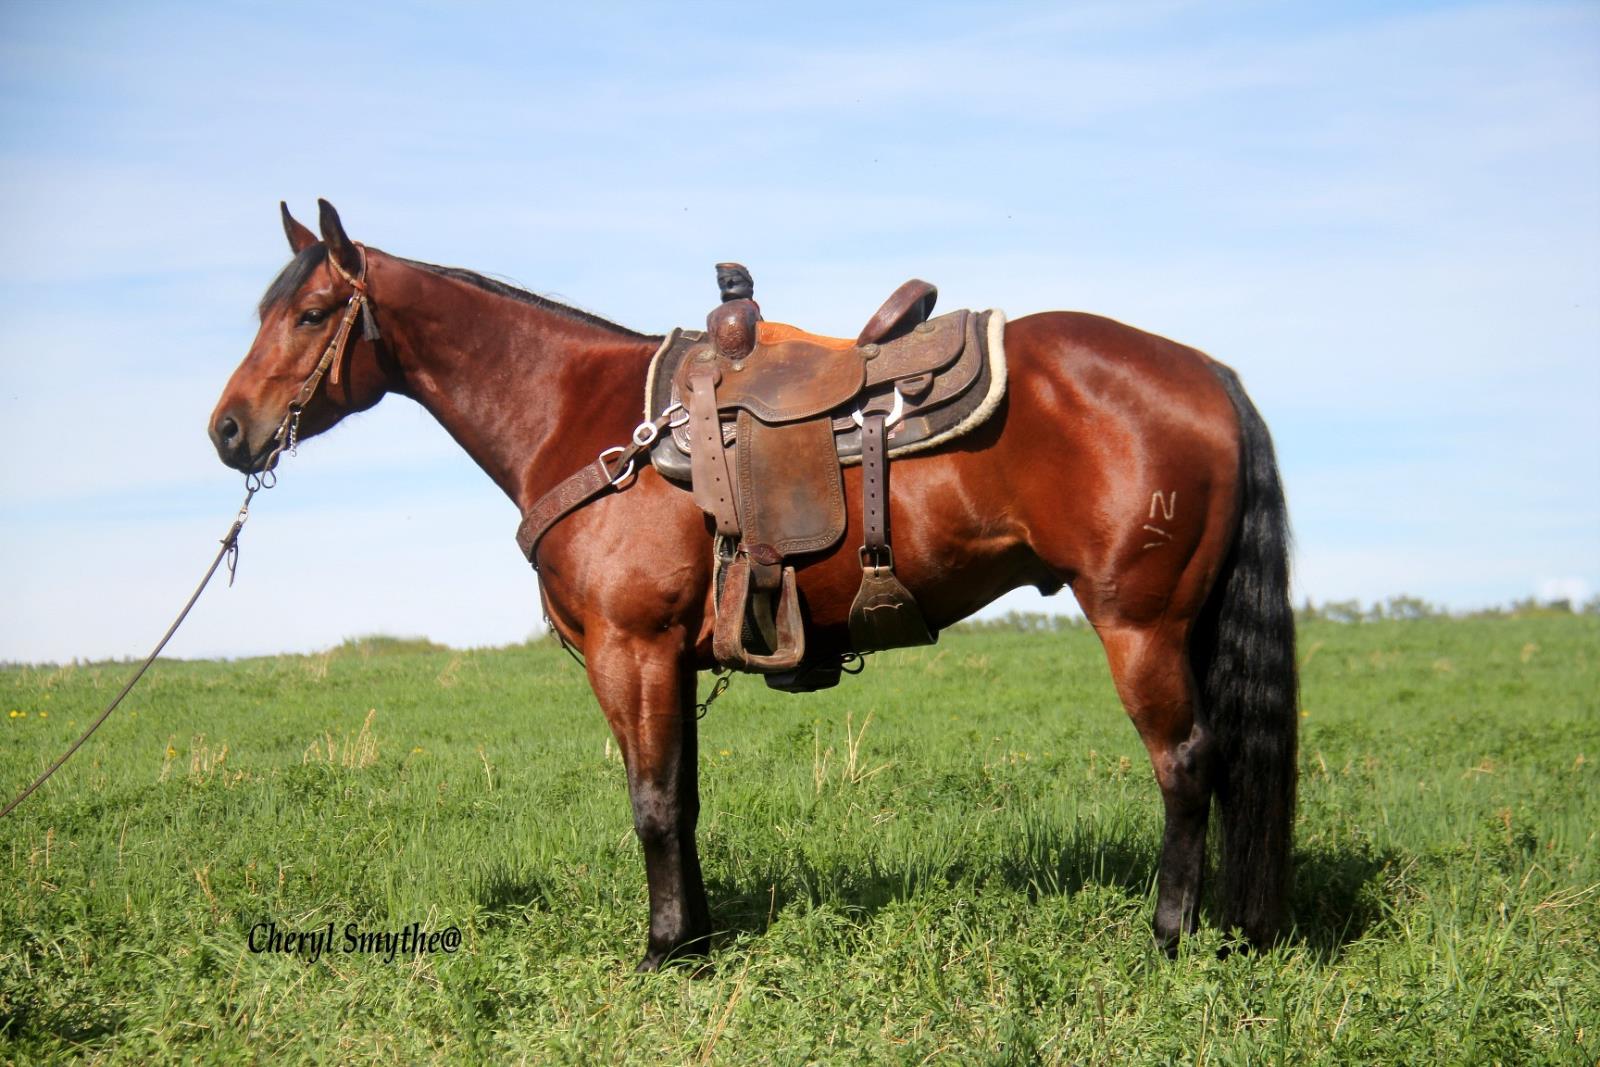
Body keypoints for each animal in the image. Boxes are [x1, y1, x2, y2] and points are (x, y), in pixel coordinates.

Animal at [209, 200, 1297, 972]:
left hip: (1139, 622)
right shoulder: (670, 660)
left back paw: (1165, 936)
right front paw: (696, 936)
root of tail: (1206, 372)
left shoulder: (631, 649)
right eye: (262, 311)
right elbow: (683, 799)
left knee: (1185, 762)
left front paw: (660, 951)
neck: (581, 419)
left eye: (311, 314)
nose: (227, 431)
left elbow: (650, 801)